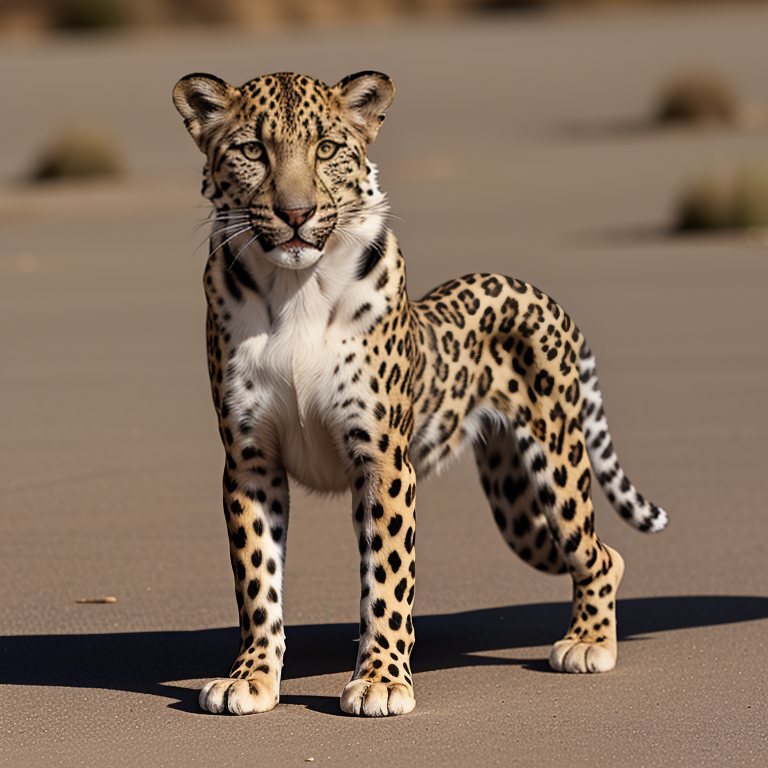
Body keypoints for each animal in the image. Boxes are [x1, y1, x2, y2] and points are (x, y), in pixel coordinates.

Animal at [172, 70, 668, 717]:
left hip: (557, 467)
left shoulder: (383, 460)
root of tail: (529, 286)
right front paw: (251, 677)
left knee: (600, 553)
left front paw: (381, 680)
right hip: (515, 507)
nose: (297, 213)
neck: (296, 286)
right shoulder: (250, 460)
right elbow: (257, 578)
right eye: (253, 150)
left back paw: (589, 644)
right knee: (595, 551)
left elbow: (386, 576)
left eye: (326, 148)